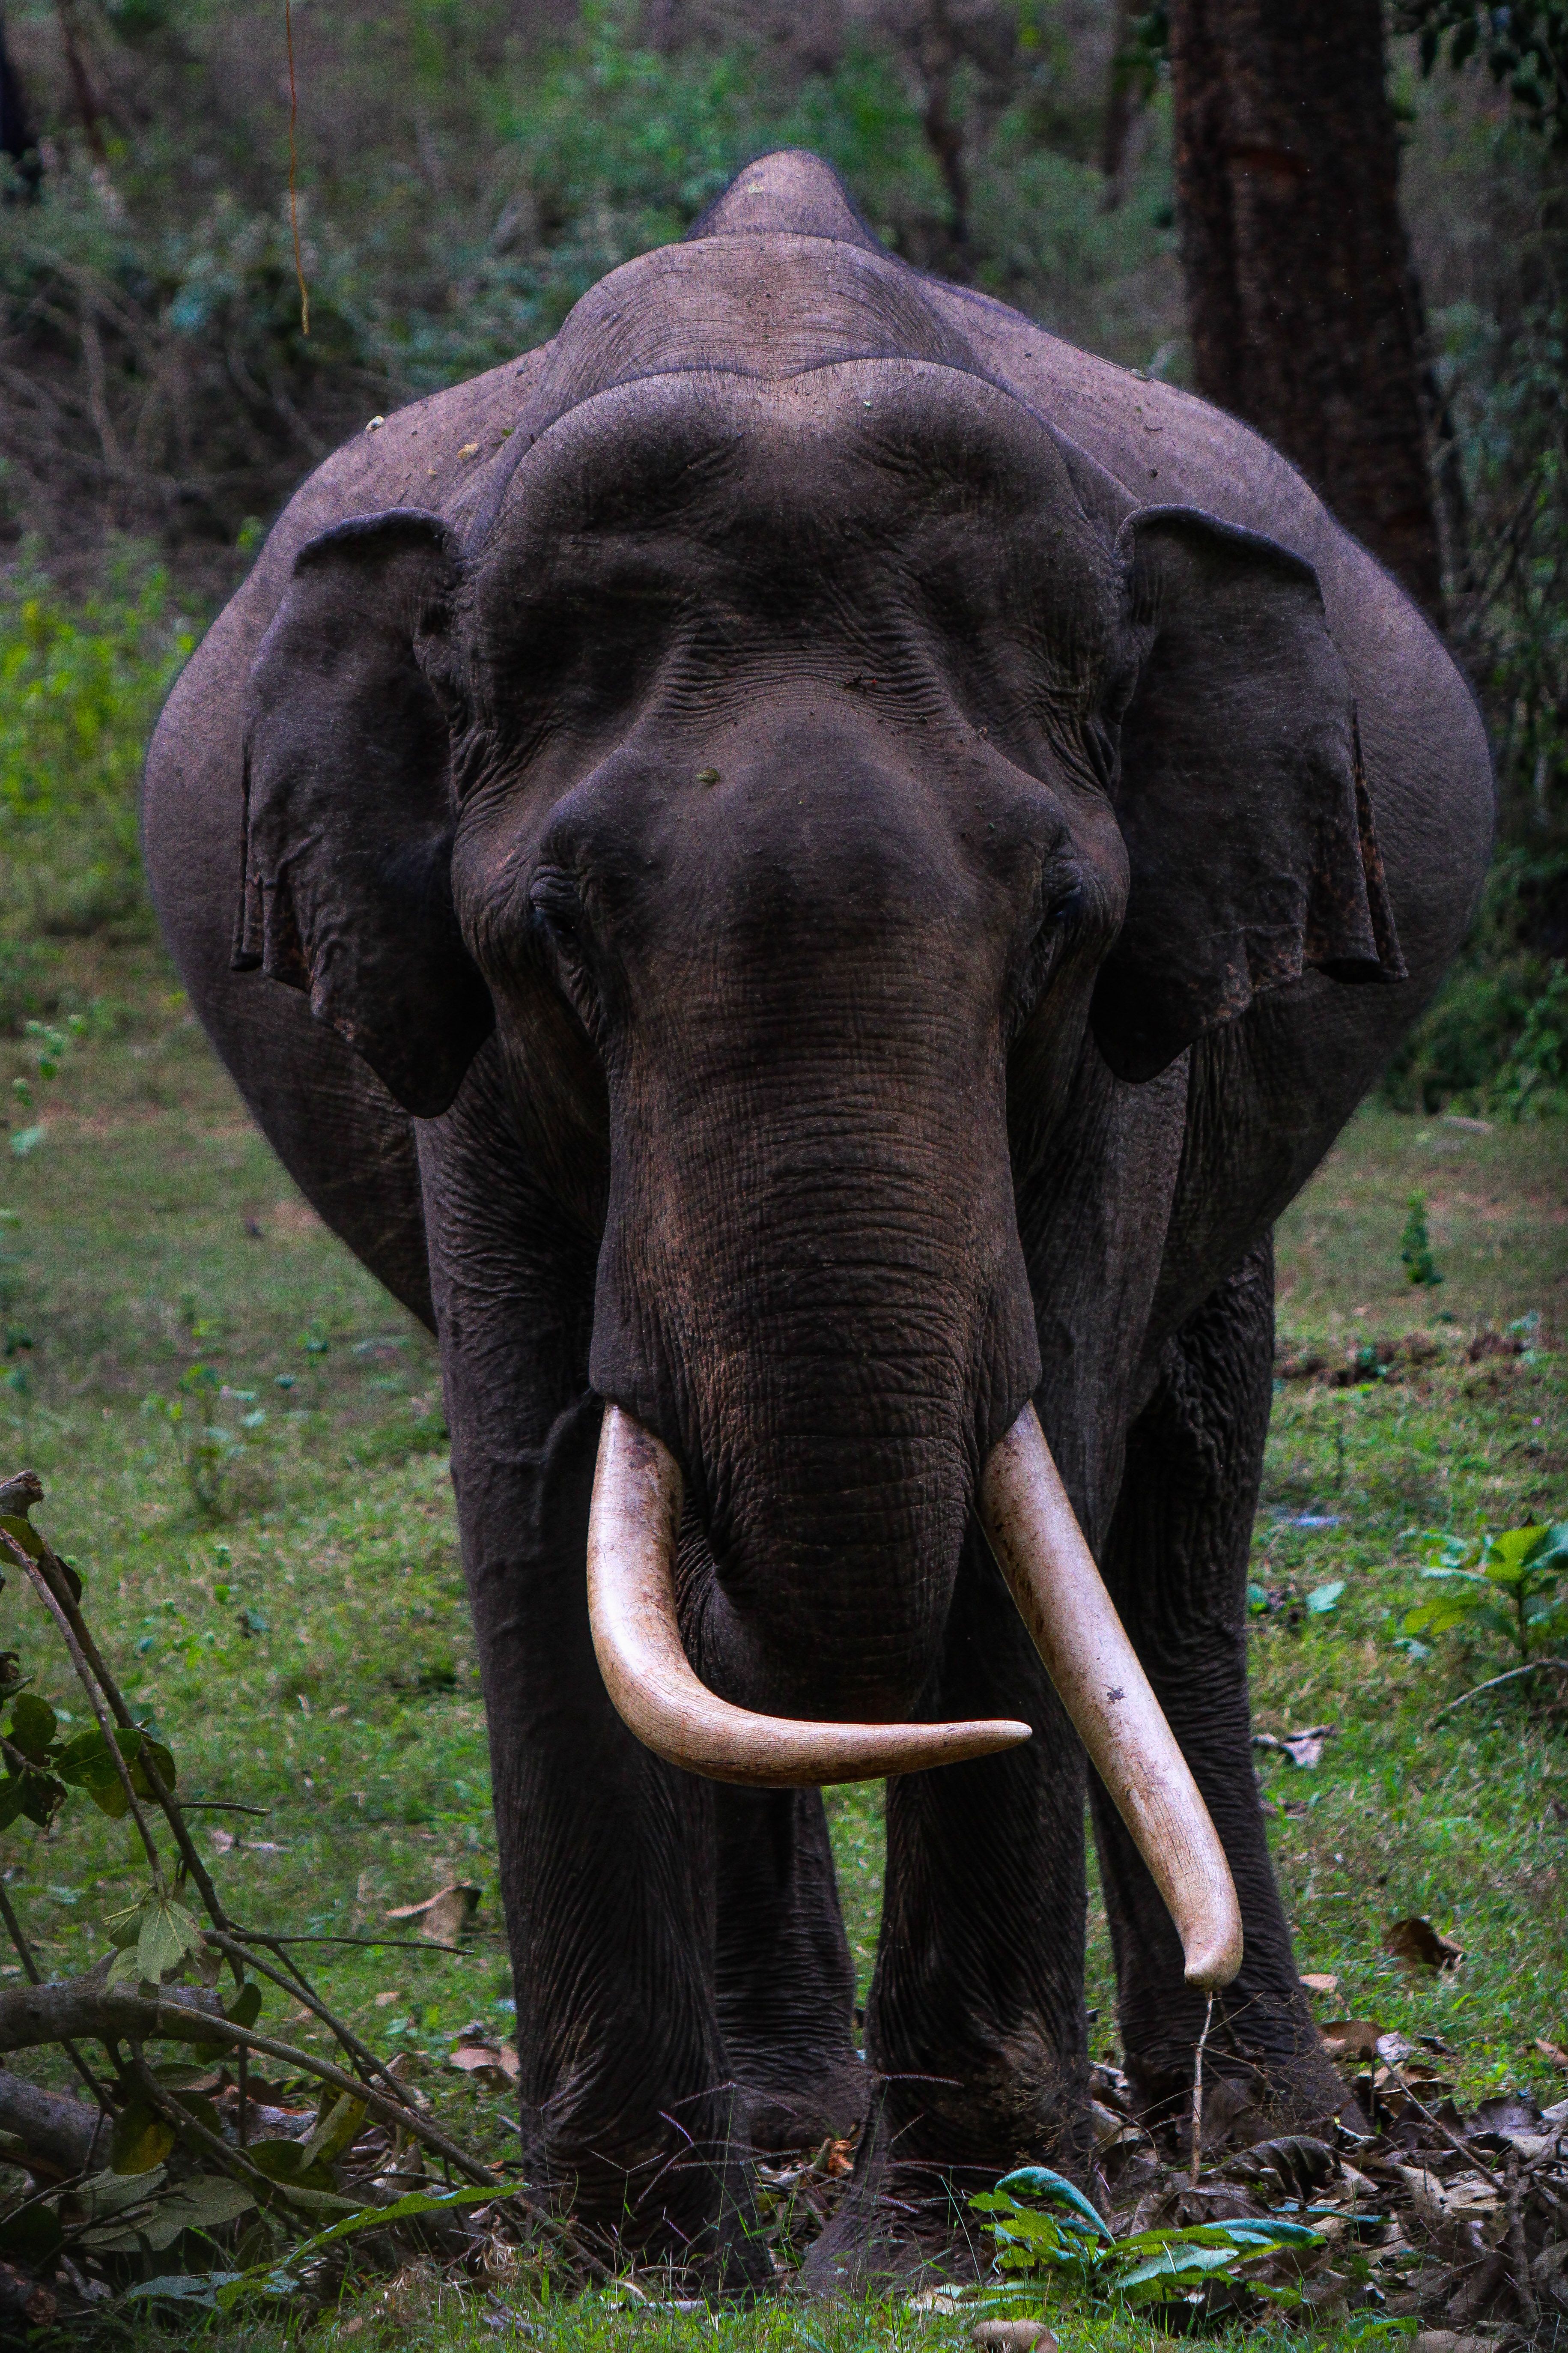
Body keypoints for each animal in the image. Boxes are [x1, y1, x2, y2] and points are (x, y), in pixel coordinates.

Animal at [143, 149, 1492, 2283]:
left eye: (1061, 924)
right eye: (555, 936)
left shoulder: (1126, 1052)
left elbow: (1047, 1472)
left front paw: (953, 2243)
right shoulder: (456, 1039)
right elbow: (533, 1487)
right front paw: (640, 2257)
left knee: (1175, 1514)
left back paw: (1261, 2145)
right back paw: (793, 2119)